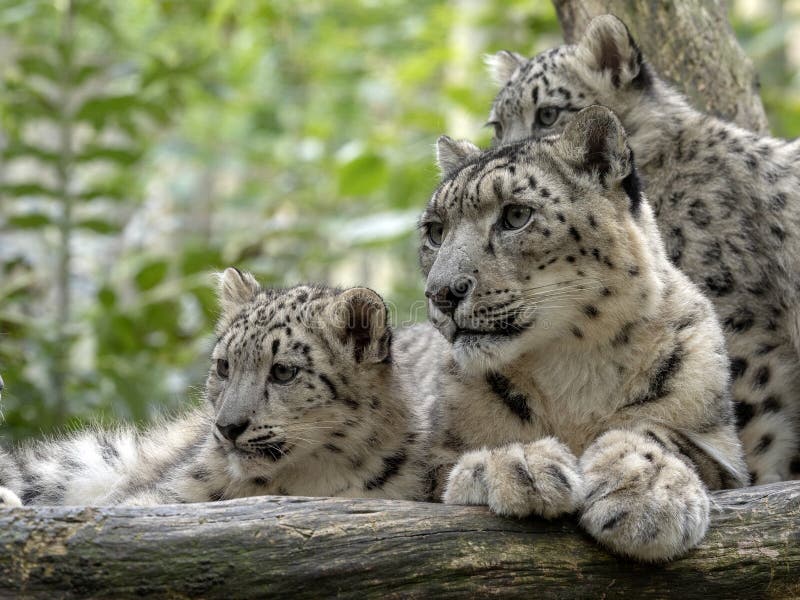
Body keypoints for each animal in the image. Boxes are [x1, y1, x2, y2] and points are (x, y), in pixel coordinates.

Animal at [417, 105, 748, 561]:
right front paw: (516, 464)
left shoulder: (724, 449)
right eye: (435, 231)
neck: (573, 363)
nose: (441, 293)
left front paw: (644, 489)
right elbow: (449, 469)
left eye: (516, 216)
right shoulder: (428, 460)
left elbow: (668, 438)